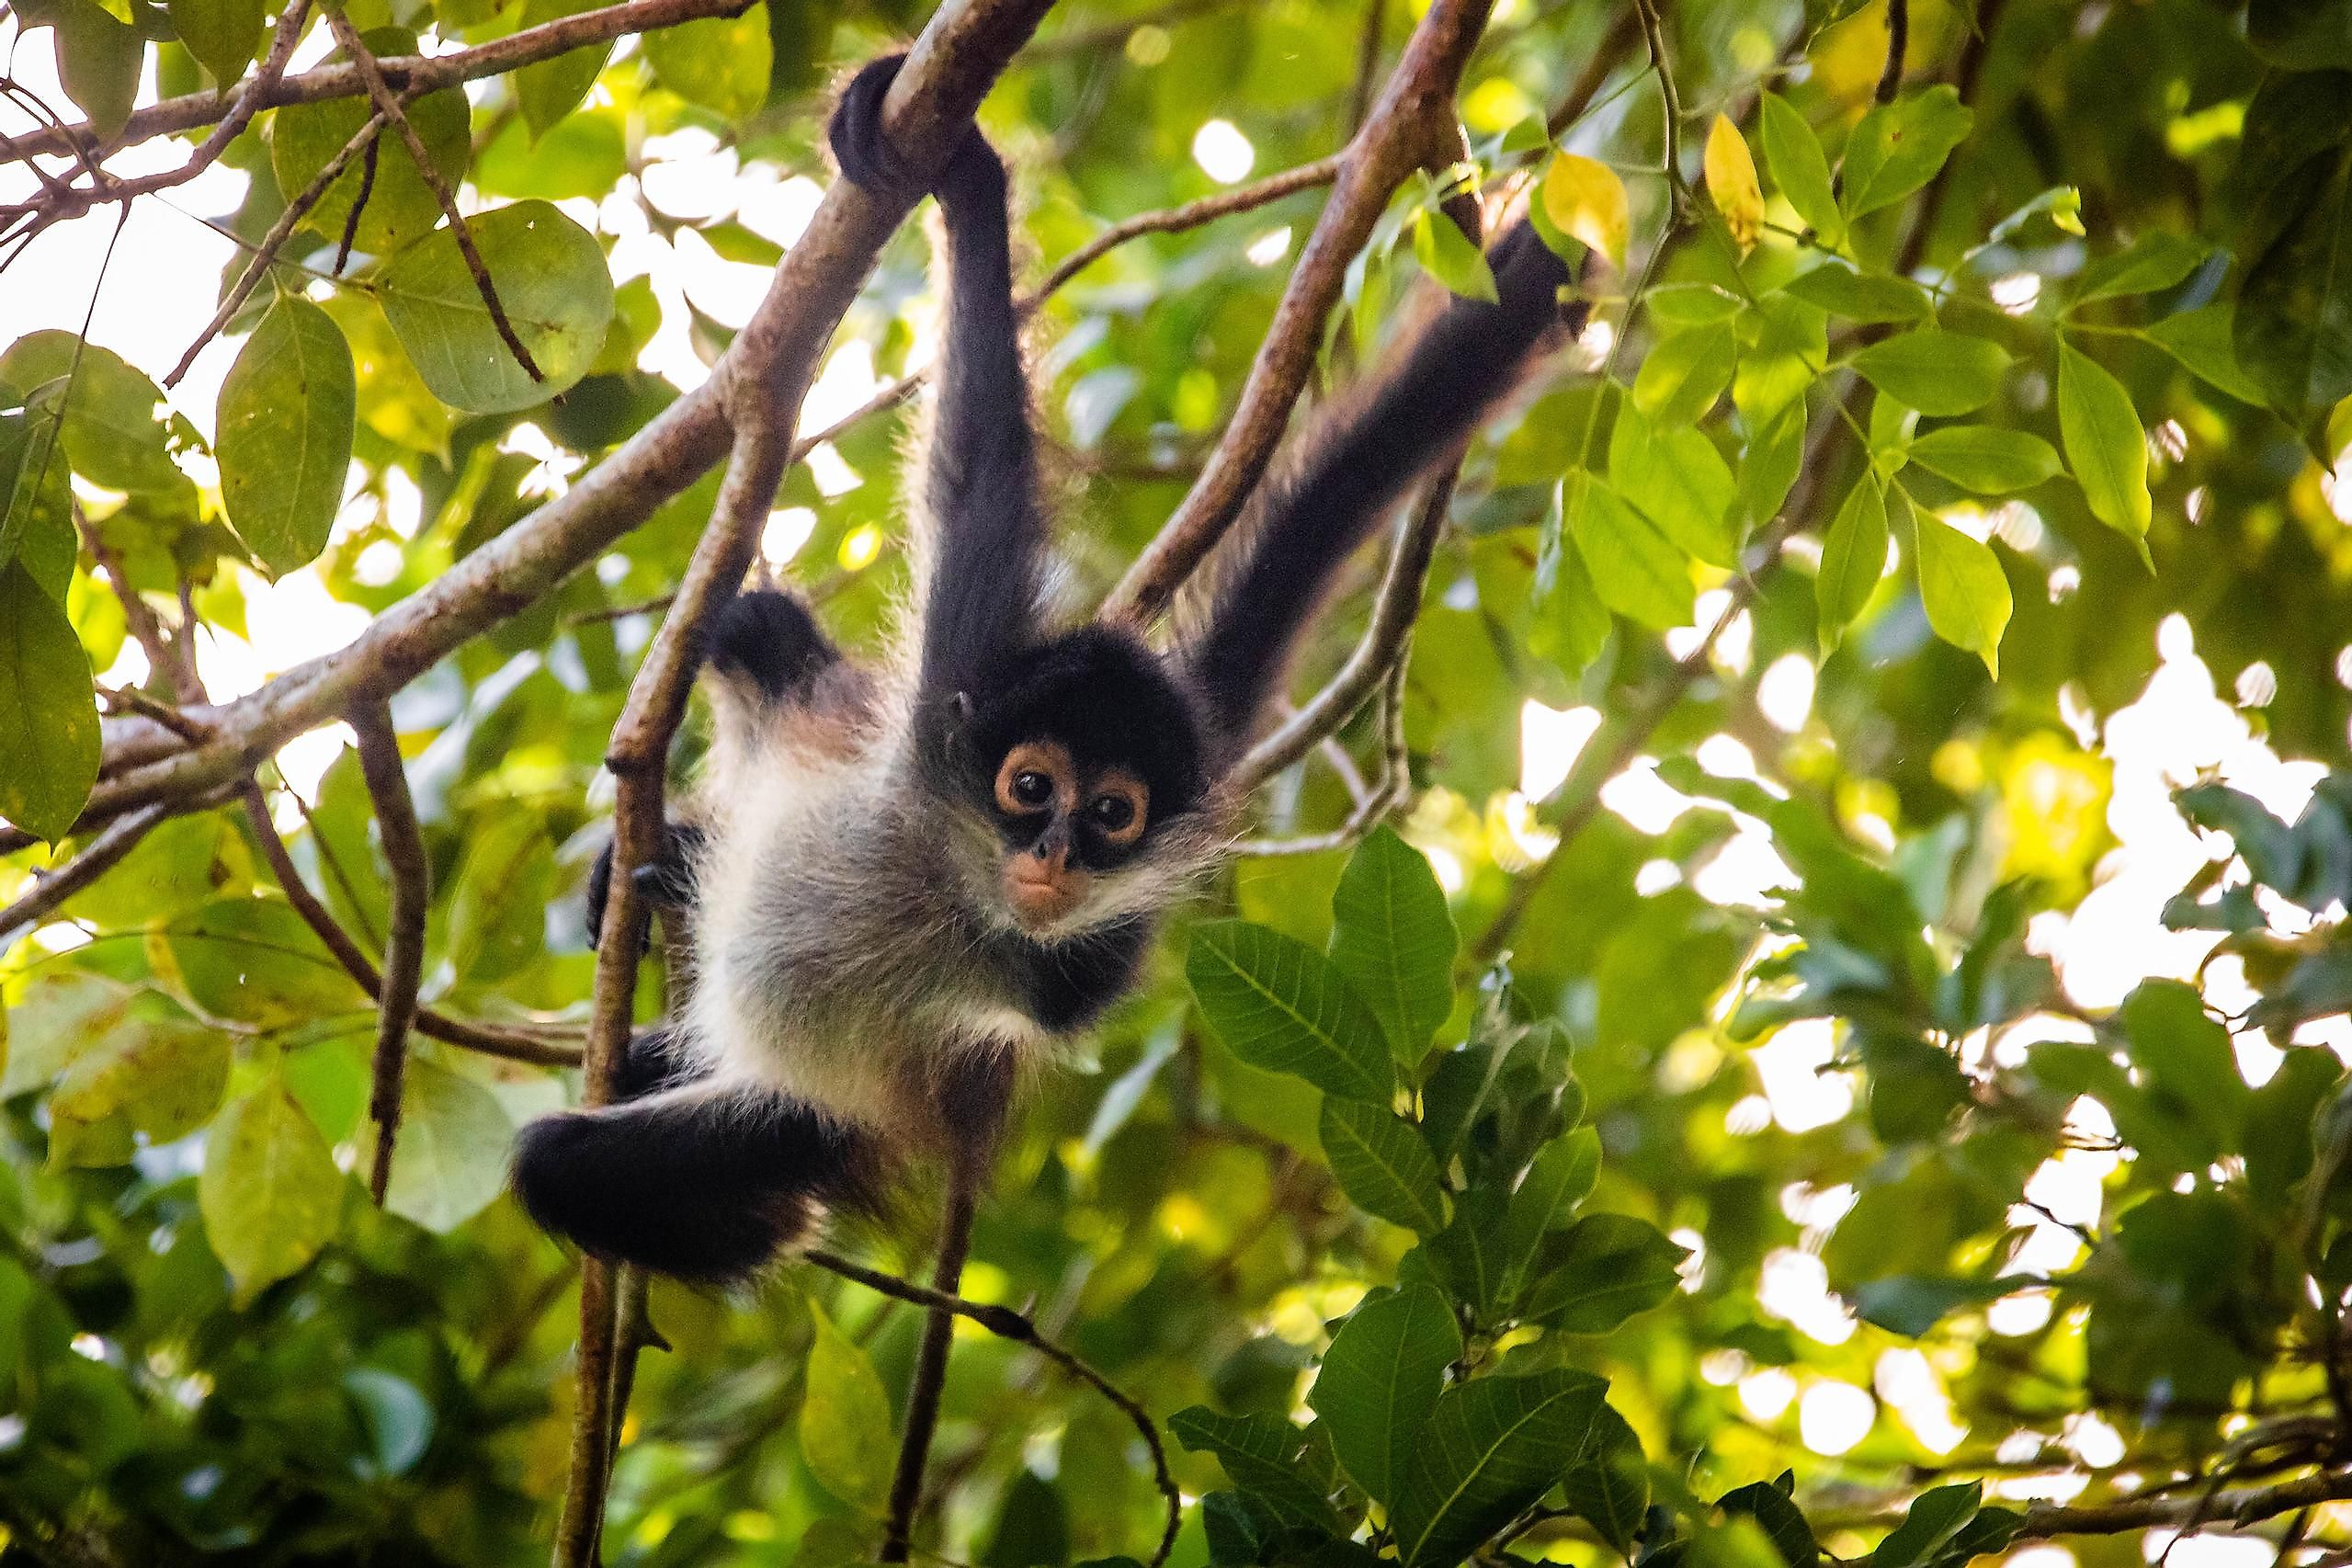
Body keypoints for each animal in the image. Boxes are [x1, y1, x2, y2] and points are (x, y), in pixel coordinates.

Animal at [511, 53, 1583, 1285]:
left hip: (792, 1108)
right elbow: (974, 474)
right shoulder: (961, 671)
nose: (1059, 856)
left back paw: (761, 1199)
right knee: (755, 627)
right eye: (1031, 787)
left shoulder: (1079, 968)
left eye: (1114, 814)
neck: (950, 877)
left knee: (587, 1159)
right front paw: (968, 182)